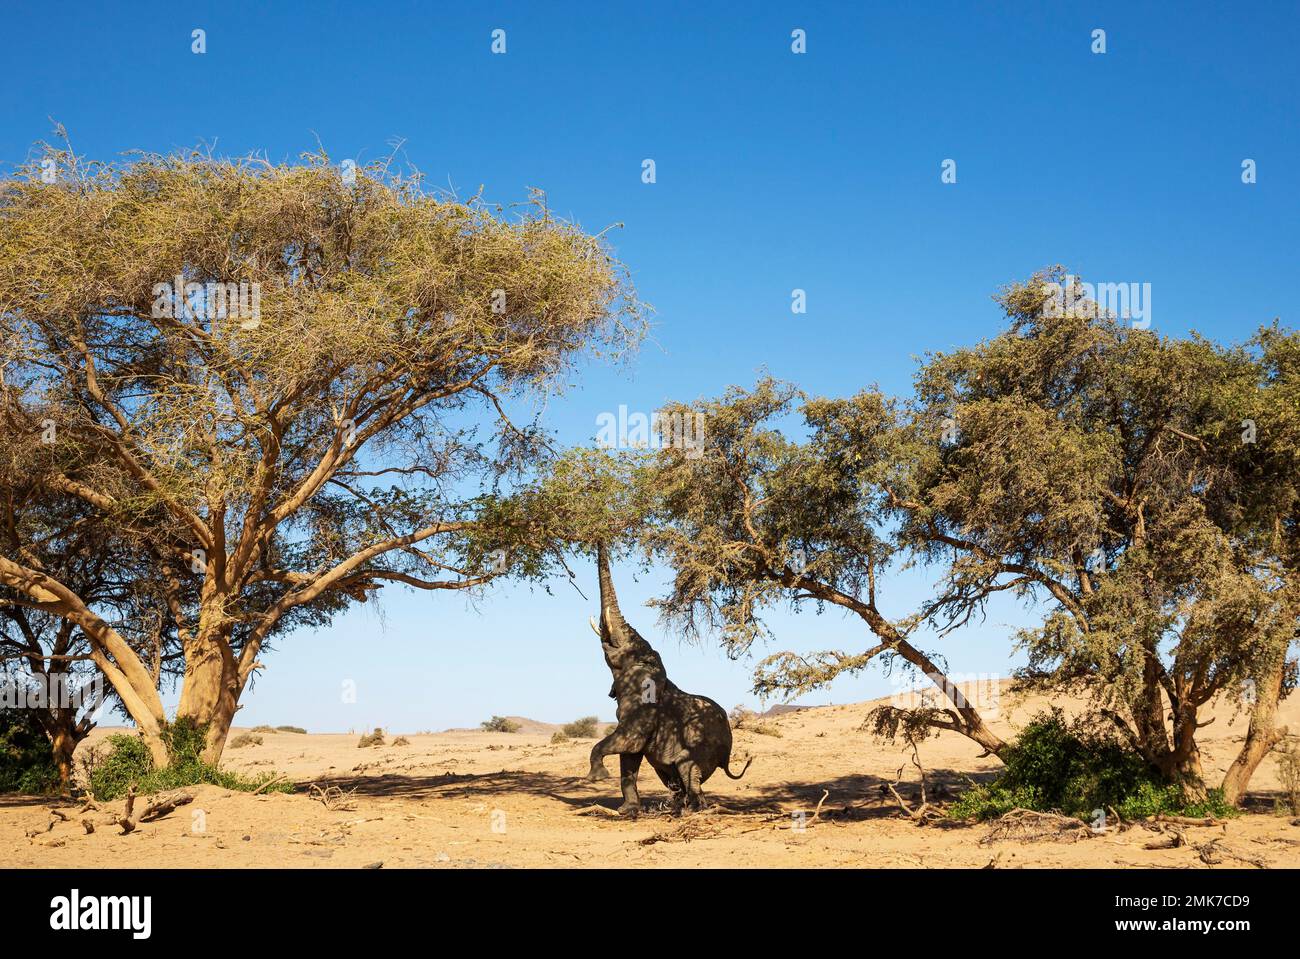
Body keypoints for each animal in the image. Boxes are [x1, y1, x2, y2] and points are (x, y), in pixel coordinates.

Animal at [584, 544, 751, 816]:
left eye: (632, 649)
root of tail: (727, 757)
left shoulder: (644, 708)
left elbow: (628, 742)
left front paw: (596, 778)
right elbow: (629, 757)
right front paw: (627, 811)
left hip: (702, 748)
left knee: (688, 772)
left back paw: (692, 811)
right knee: (672, 778)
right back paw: (676, 807)